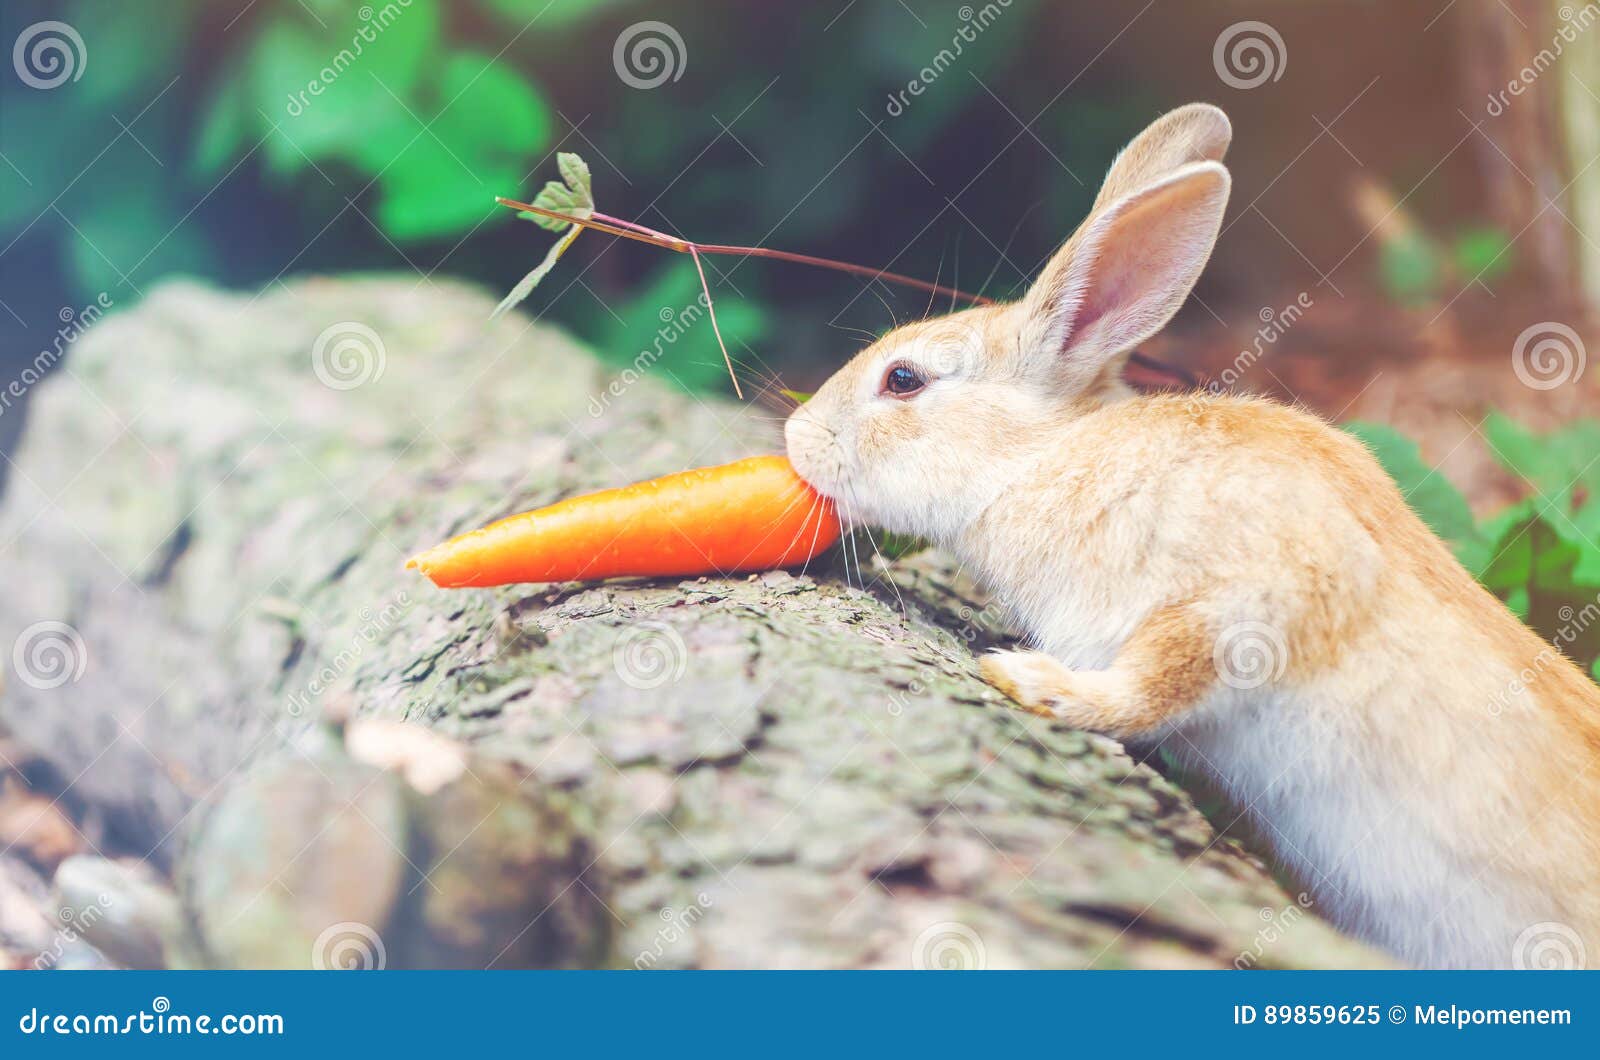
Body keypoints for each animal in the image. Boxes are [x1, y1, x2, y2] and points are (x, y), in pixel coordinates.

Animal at [784, 103, 1600, 969]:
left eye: (904, 380)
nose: (798, 437)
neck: (1040, 458)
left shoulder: (1255, 595)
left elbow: (1154, 682)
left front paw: (1032, 683)